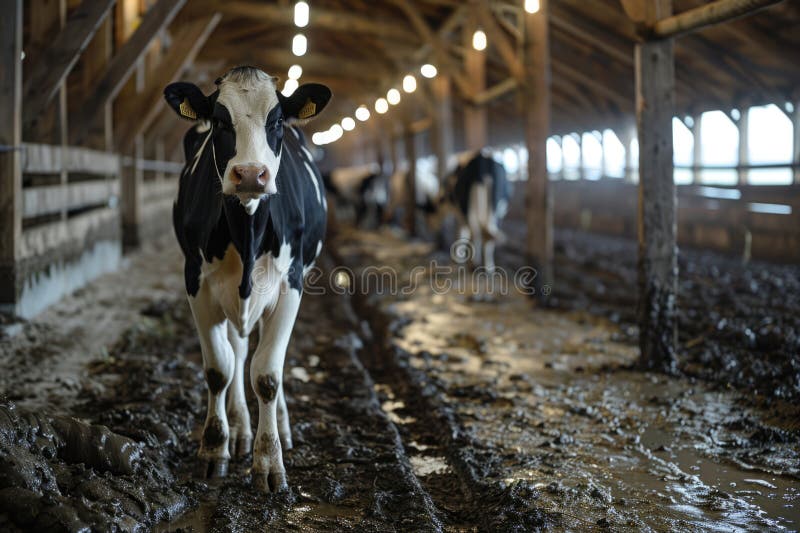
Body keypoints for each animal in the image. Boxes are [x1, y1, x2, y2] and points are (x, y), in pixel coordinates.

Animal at [164, 66, 331, 493]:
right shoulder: (197, 282)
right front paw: (214, 449)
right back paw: (239, 428)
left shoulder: (291, 284)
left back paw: (282, 428)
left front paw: (269, 461)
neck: (247, 231)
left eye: (276, 122)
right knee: (237, 351)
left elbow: (268, 374)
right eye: (221, 121)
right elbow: (219, 369)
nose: (251, 174)